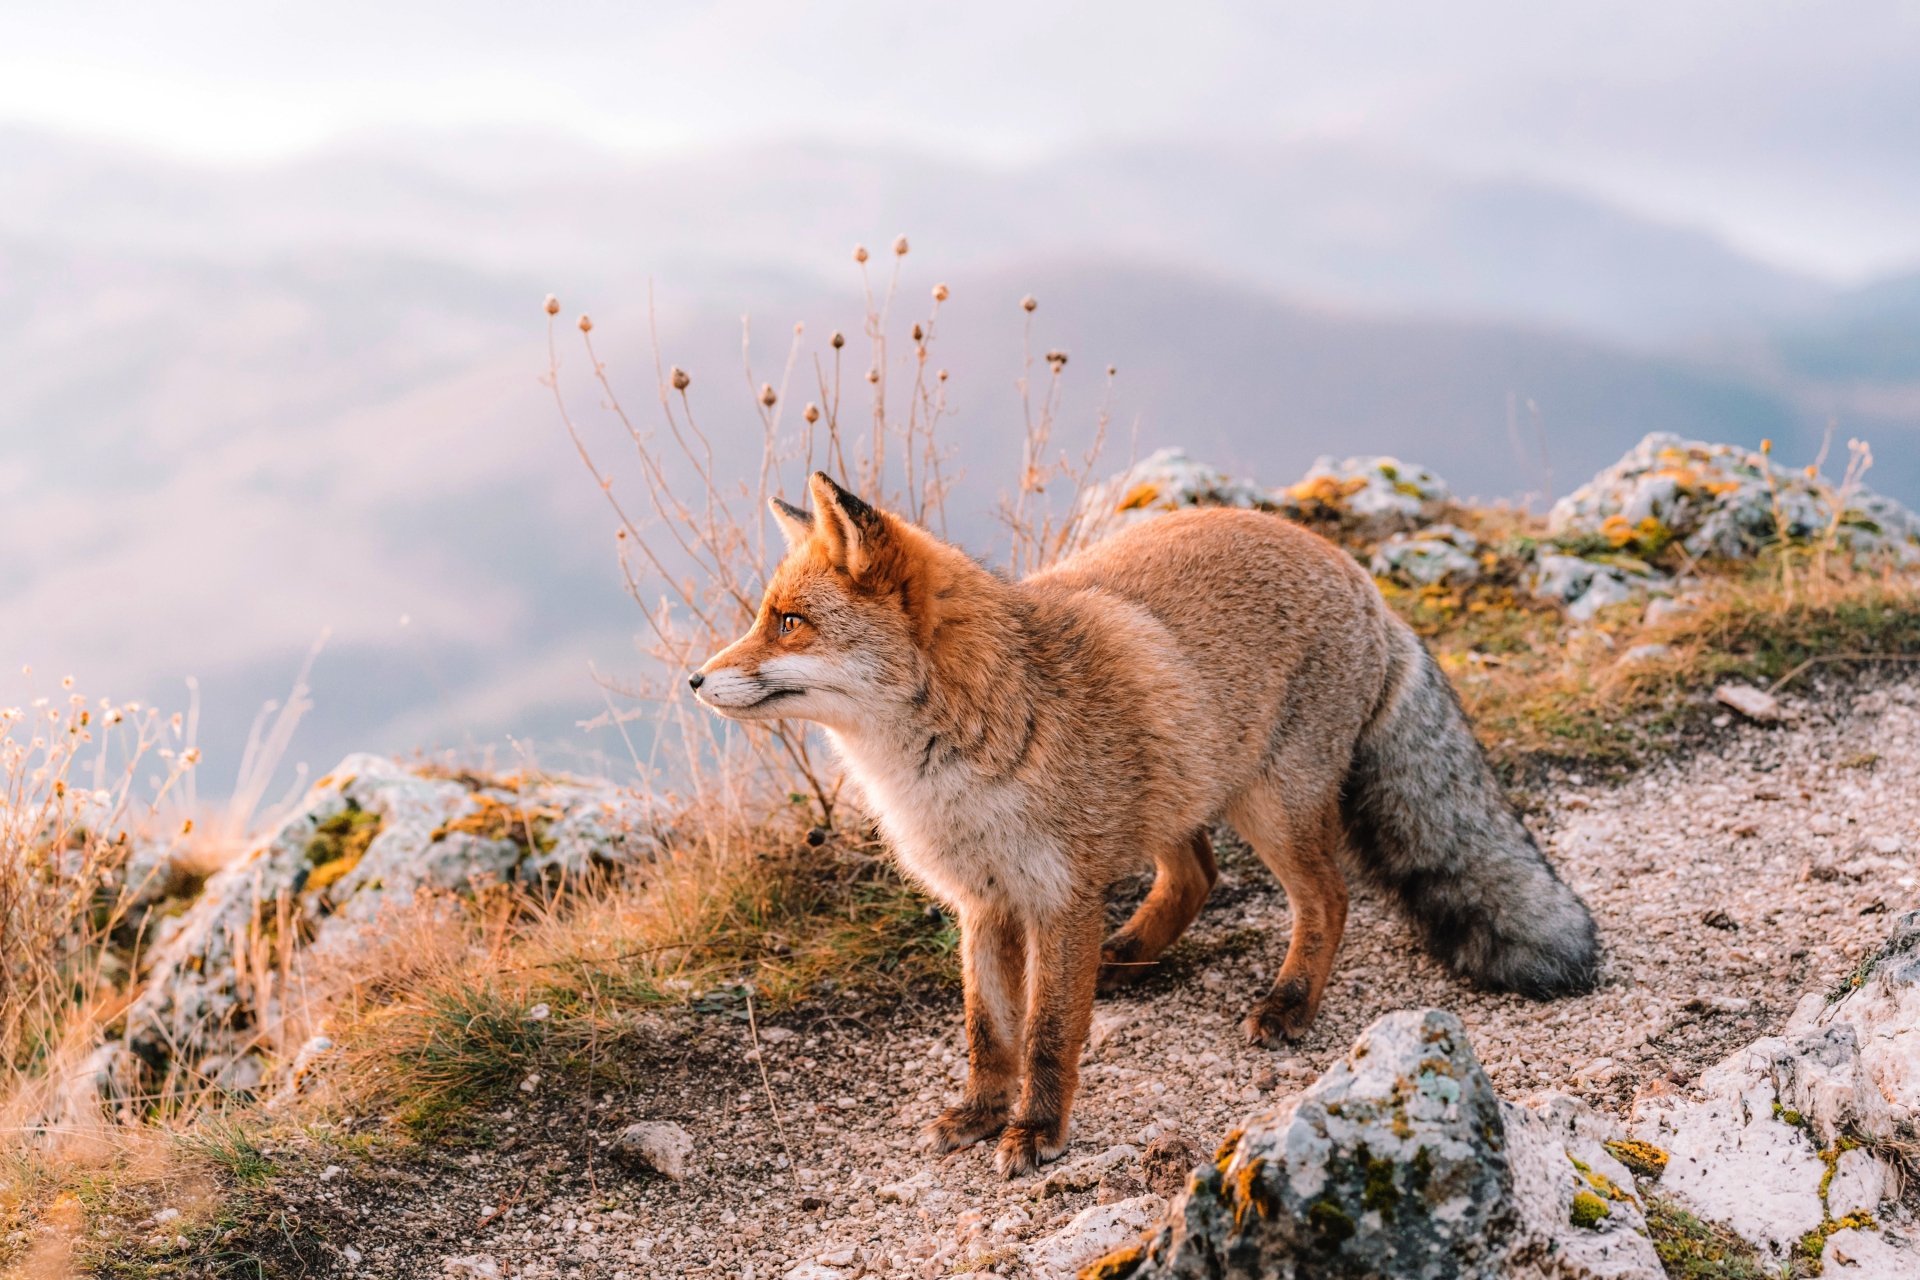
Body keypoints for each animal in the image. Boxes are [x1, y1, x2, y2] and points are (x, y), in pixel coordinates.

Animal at [691, 472, 1599, 1176]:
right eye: (765, 616)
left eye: (788, 622)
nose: (694, 680)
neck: (951, 765)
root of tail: (1357, 573)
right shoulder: (985, 903)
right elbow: (989, 1033)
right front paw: (980, 1113)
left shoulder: (1058, 899)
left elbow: (1048, 1034)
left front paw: (1035, 1132)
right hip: (1181, 784)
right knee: (1199, 873)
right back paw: (1130, 953)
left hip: (1268, 805)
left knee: (1328, 899)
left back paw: (1289, 1003)